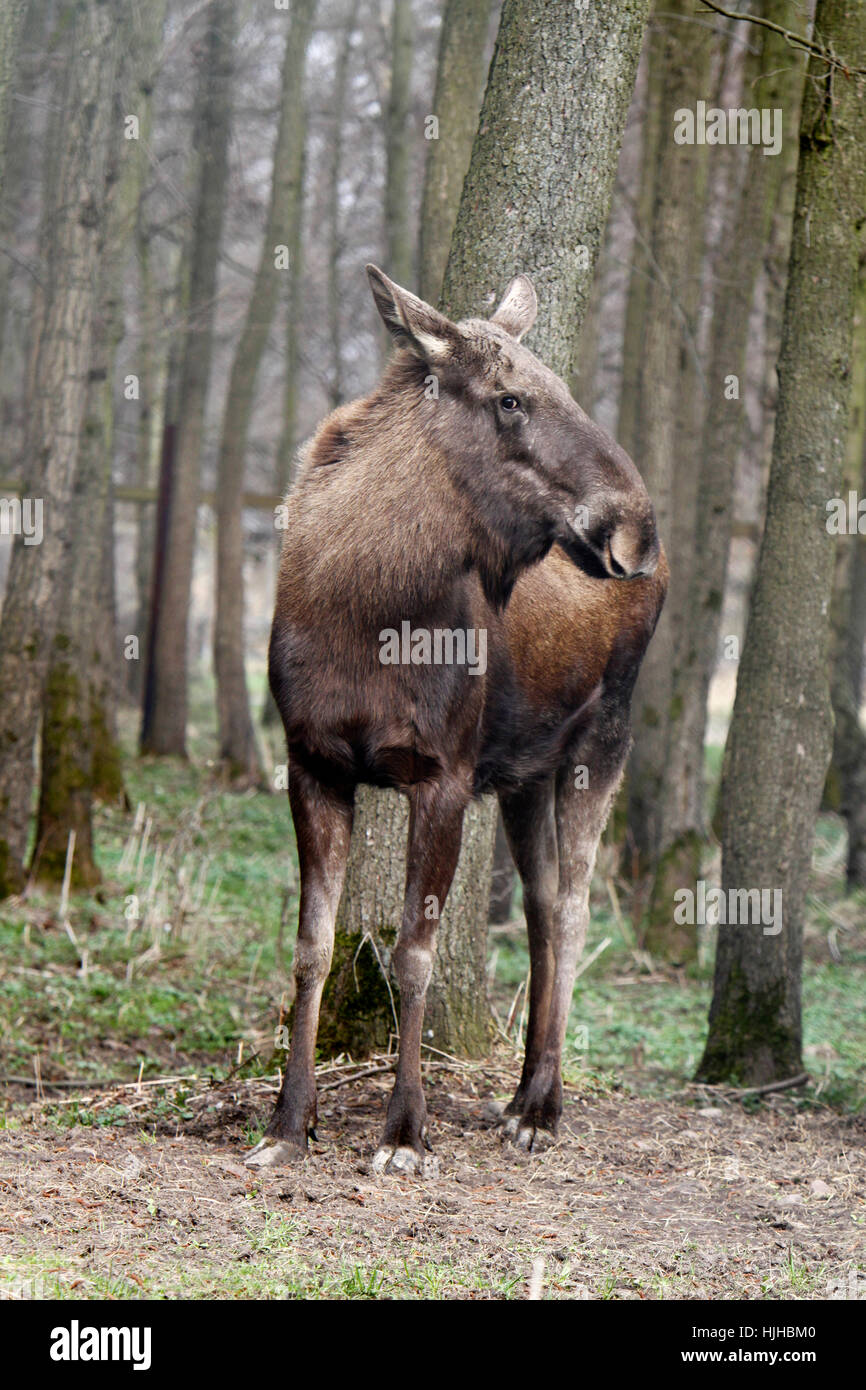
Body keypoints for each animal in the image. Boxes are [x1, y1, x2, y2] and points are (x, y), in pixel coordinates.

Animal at [246, 265, 667, 1175]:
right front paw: (289, 1122)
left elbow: (414, 957)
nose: (634, 527)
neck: (364, 613)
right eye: (510, 399)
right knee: (541, 906)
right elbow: (311, 949)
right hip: (524, 771)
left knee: (575, 909)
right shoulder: (311, 762)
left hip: (606, 736)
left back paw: (544, 1107)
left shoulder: (440, 775)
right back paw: (521, 1092)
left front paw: (404, 1131)